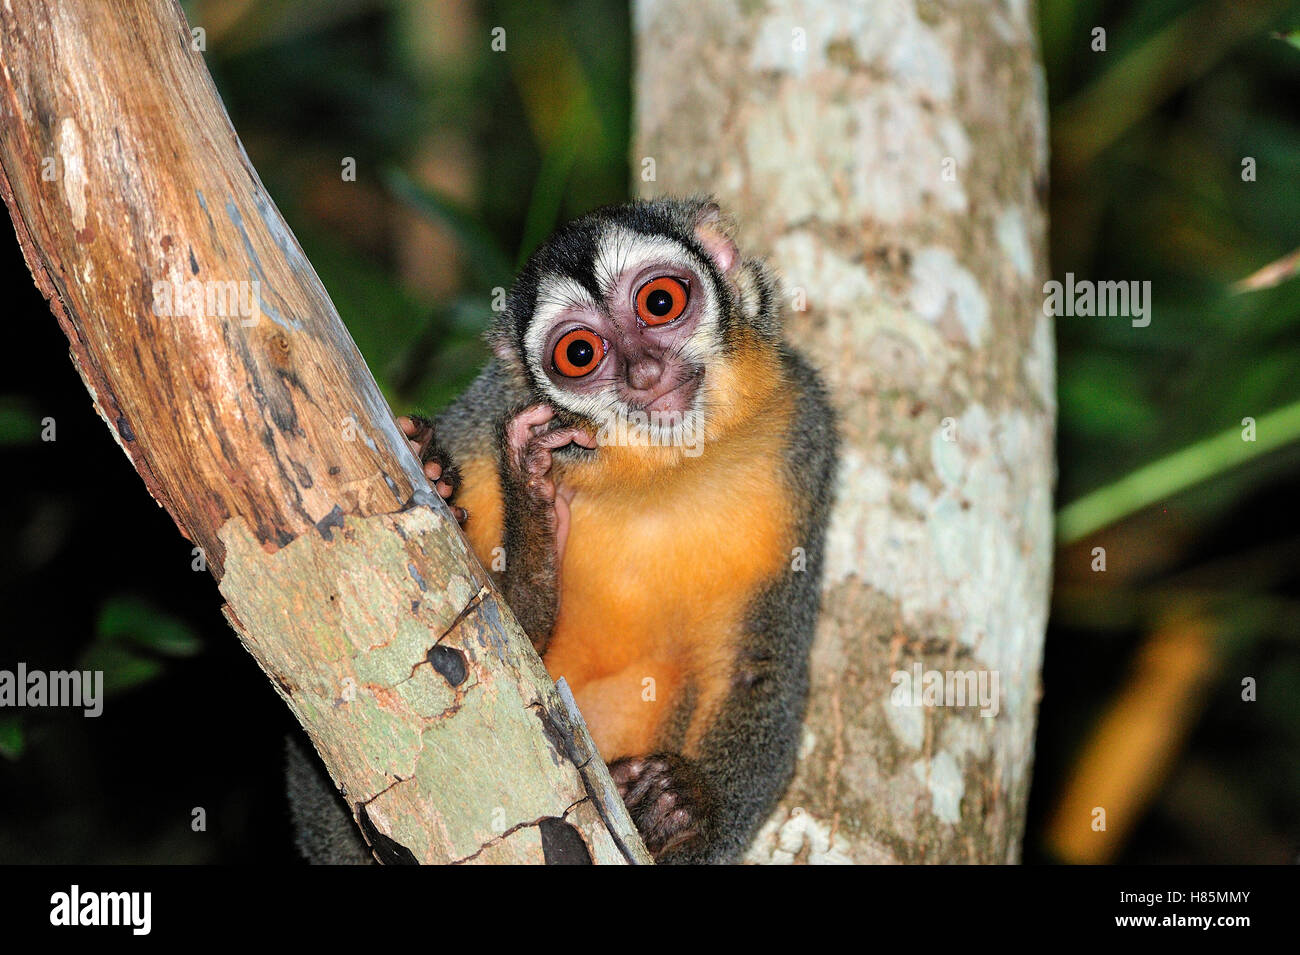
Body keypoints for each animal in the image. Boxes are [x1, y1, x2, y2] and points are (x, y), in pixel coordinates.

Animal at [287, 196, 838, 864]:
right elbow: (469, 669)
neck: (660, 468)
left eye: (660, 303)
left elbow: (762, 665)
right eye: (579, 354)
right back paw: (432, 469)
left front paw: (685, 808)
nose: (646, 372)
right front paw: (534, 504)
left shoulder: (800, 428)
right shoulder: (485, 425)